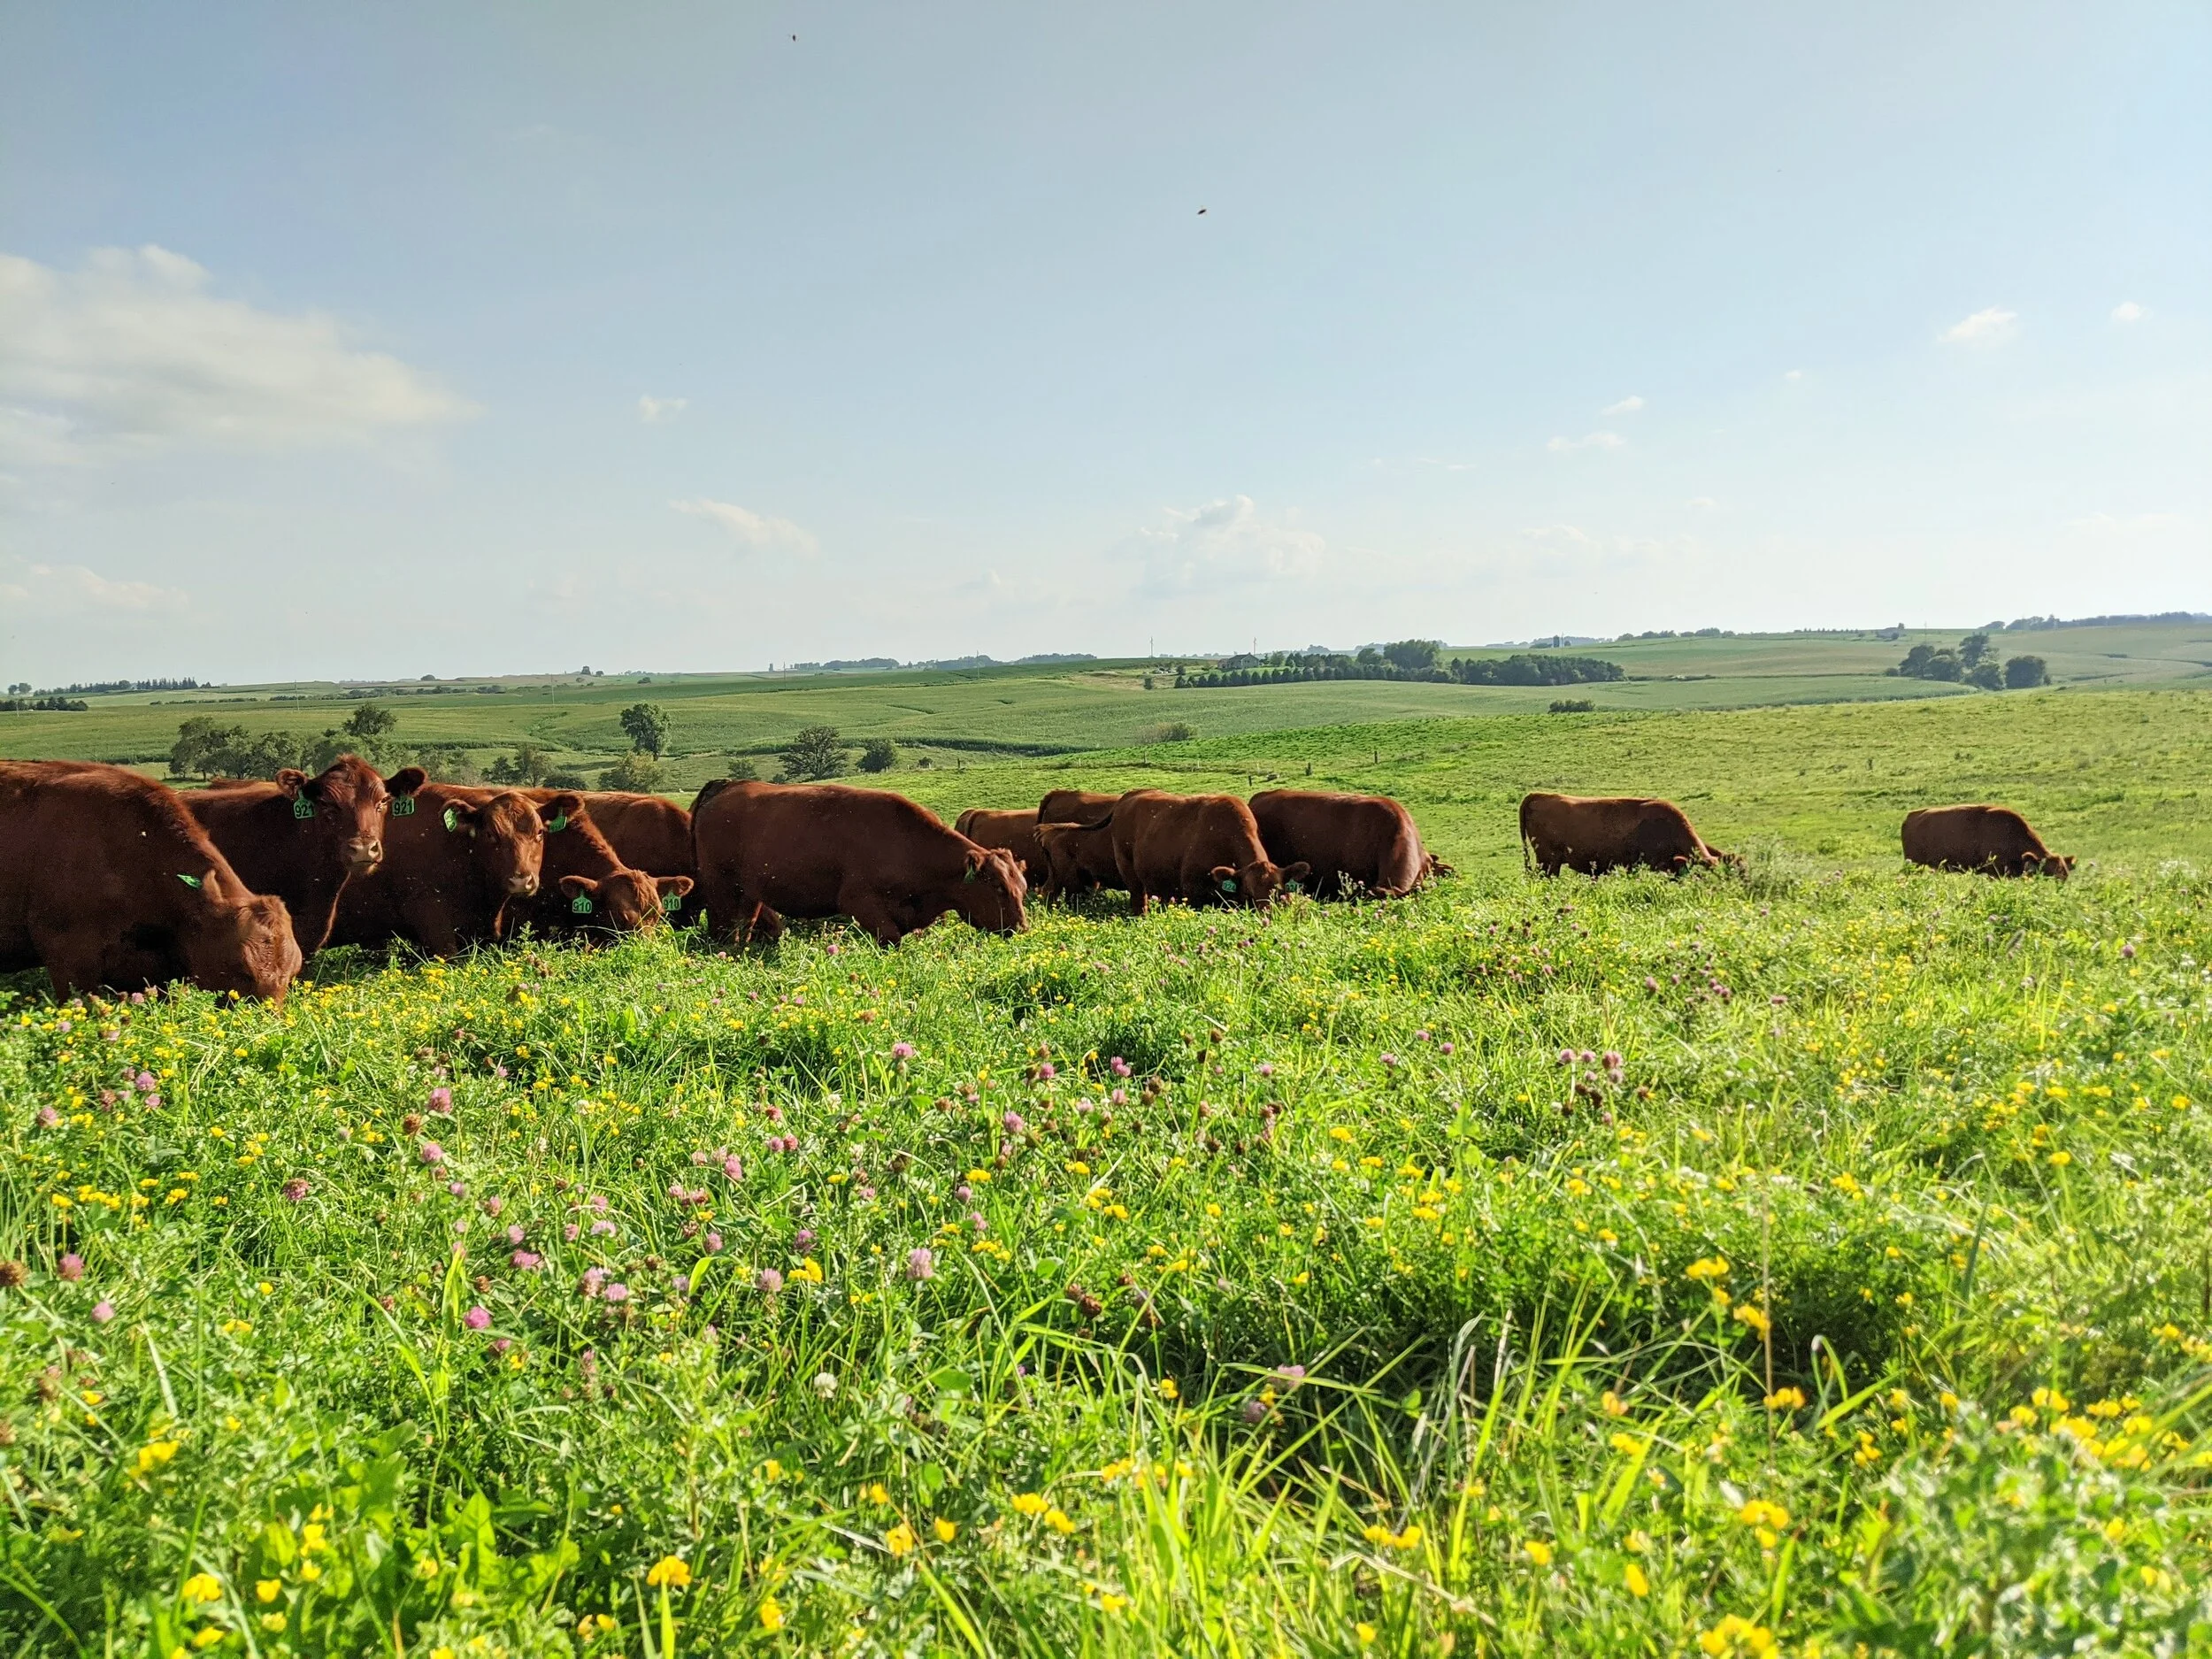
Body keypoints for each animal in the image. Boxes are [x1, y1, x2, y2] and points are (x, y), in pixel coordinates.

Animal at [690, 779, 1026, 947]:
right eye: (997, 887)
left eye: (1022, 887)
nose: (1022, 928)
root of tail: (727, 786)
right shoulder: (859, 902)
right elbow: (890, 938)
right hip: (720, 889)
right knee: (723, 932)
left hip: (749, 896)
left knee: (742, 929)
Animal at [1107, 790, 1309, 914]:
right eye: (1249, 894)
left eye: (1278, 894)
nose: (1267, 917)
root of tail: (1131, 795)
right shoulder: (1193, 895)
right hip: (1131, 877)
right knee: (1139, 901)